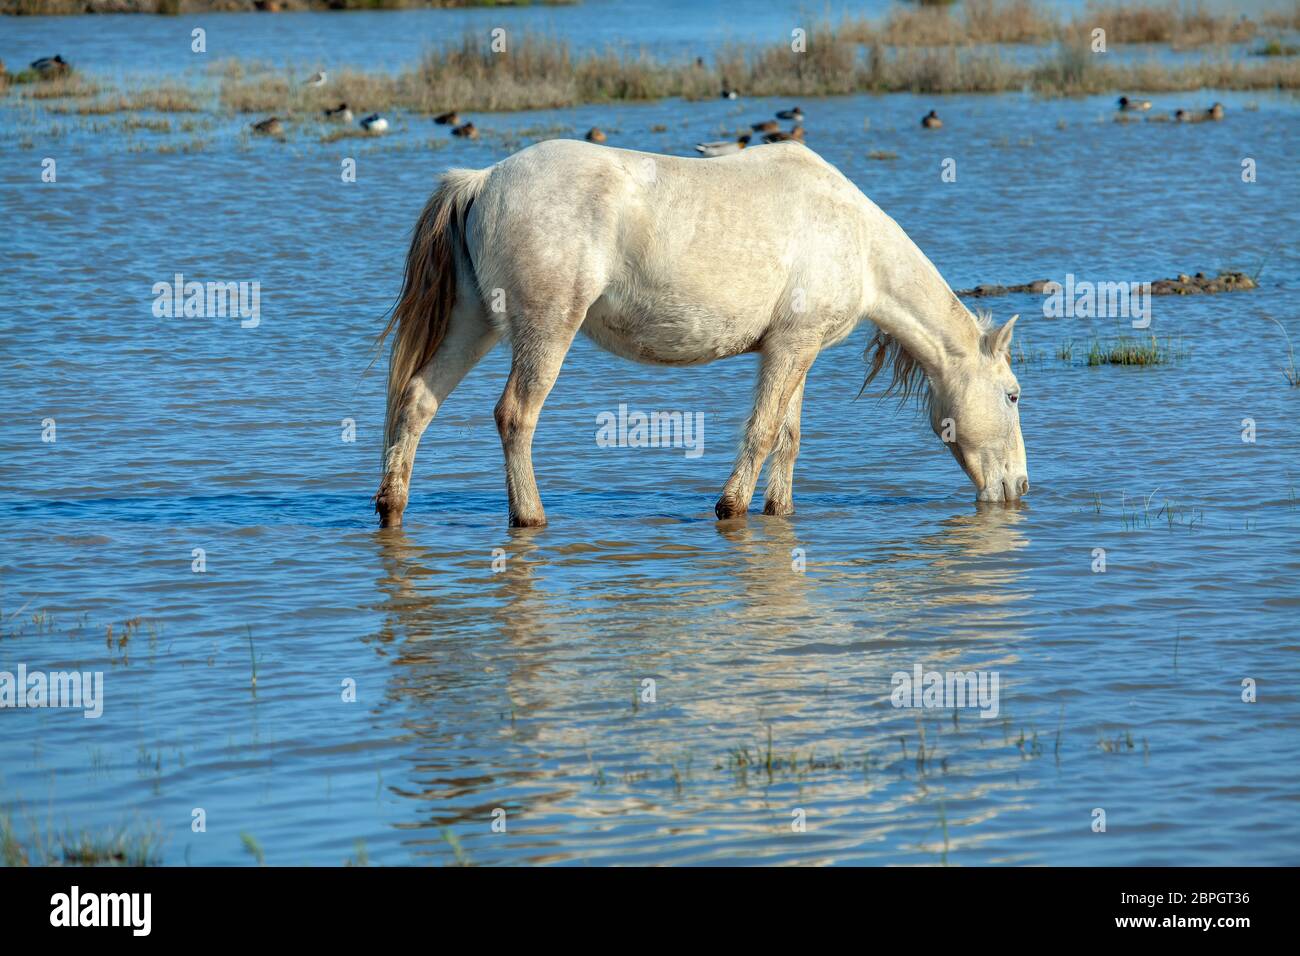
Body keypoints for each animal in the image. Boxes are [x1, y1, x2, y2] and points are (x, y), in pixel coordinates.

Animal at [374, 139, 1028, 528]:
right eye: (1013, 395)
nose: (1018, 487)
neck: (857, 241)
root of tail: (483, 179)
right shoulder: (791, 348)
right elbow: (762, 433)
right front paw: (731, 506)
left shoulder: (799, 349)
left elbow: (788, 436)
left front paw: (778, 511)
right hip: (546, 329)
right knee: (515, 415)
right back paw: (530, 517)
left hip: (474, 322)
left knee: (417, 401)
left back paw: (391, 506)